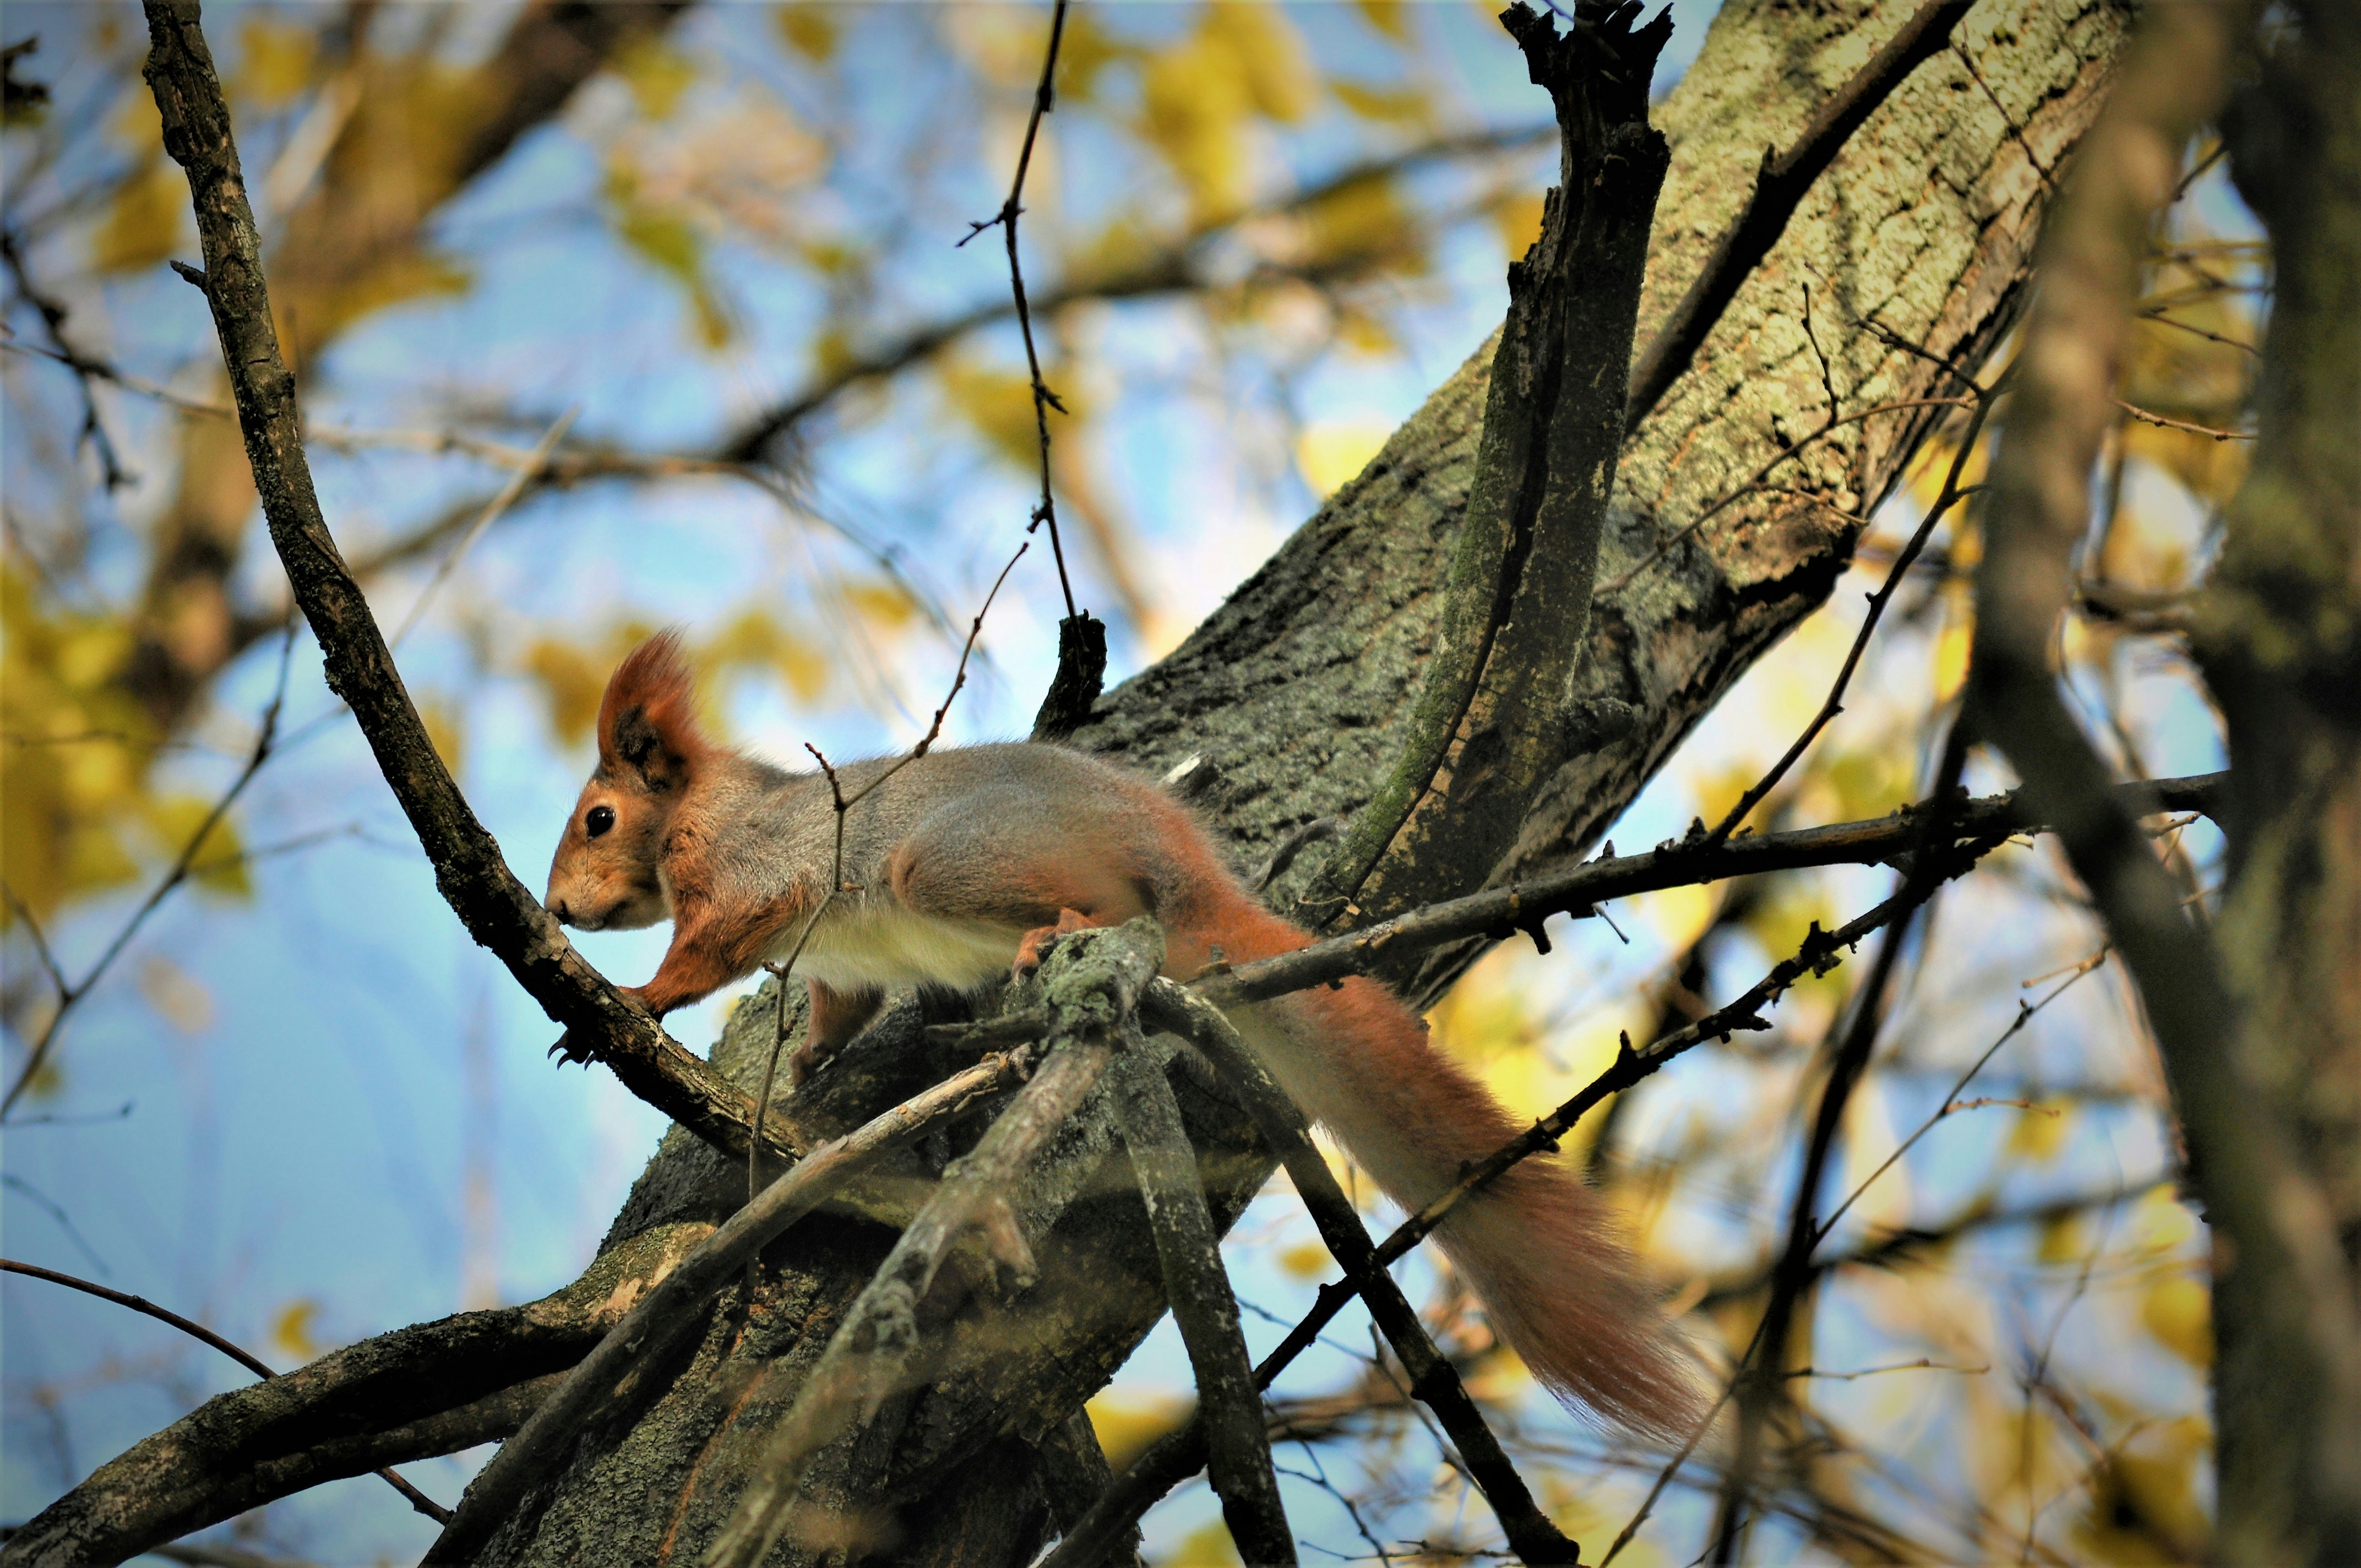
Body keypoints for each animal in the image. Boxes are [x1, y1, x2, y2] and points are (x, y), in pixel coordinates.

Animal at [545, 632, 1700, 1439]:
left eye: (599, 817)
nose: (556, 907)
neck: (697, 811)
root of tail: (1182, 858)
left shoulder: (745, 878)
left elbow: (702, 955)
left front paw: (637, 997)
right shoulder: (835, 962)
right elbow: (843, 1008)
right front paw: (814, 1061)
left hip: (953, 864)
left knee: (1100, 905)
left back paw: (1057, 931)